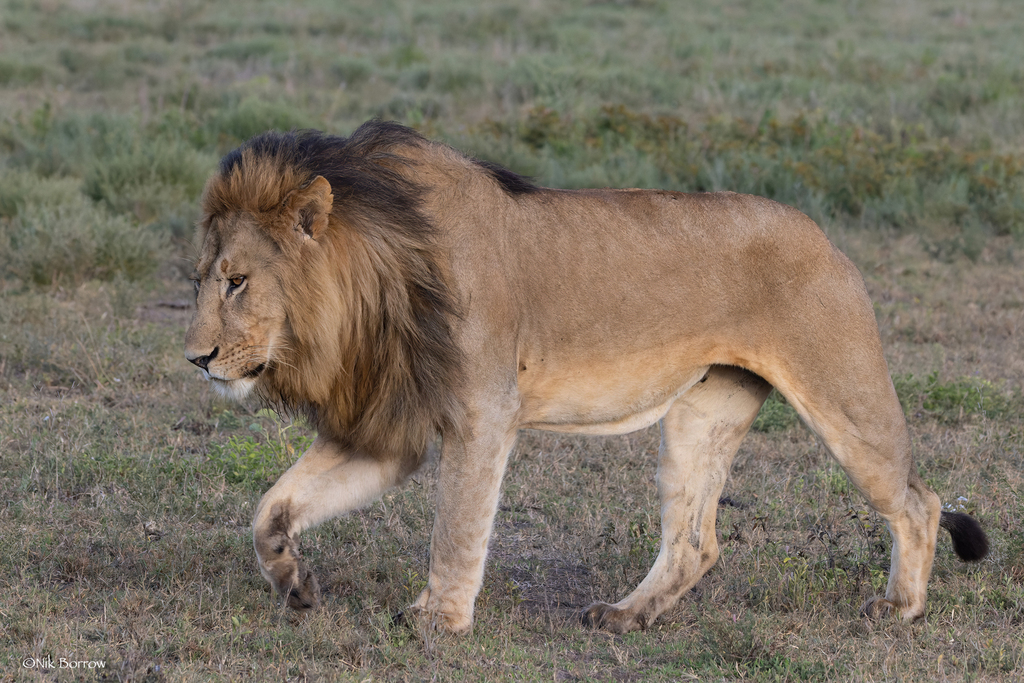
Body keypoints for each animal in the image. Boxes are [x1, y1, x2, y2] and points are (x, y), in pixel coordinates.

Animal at [184, 120, 988, 634]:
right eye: (199, 280)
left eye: (237, 282)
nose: (196, 358)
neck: (375, 283)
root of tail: (823, 234)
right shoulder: (388, 429)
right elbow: (271, 507)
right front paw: (292, 581)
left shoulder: (482, 414)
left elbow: (456, 527)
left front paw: (438, 620)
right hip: (703, 412)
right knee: (695, 541)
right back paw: (627, 616)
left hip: (842, 393)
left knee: (918, 502)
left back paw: (899, 609)